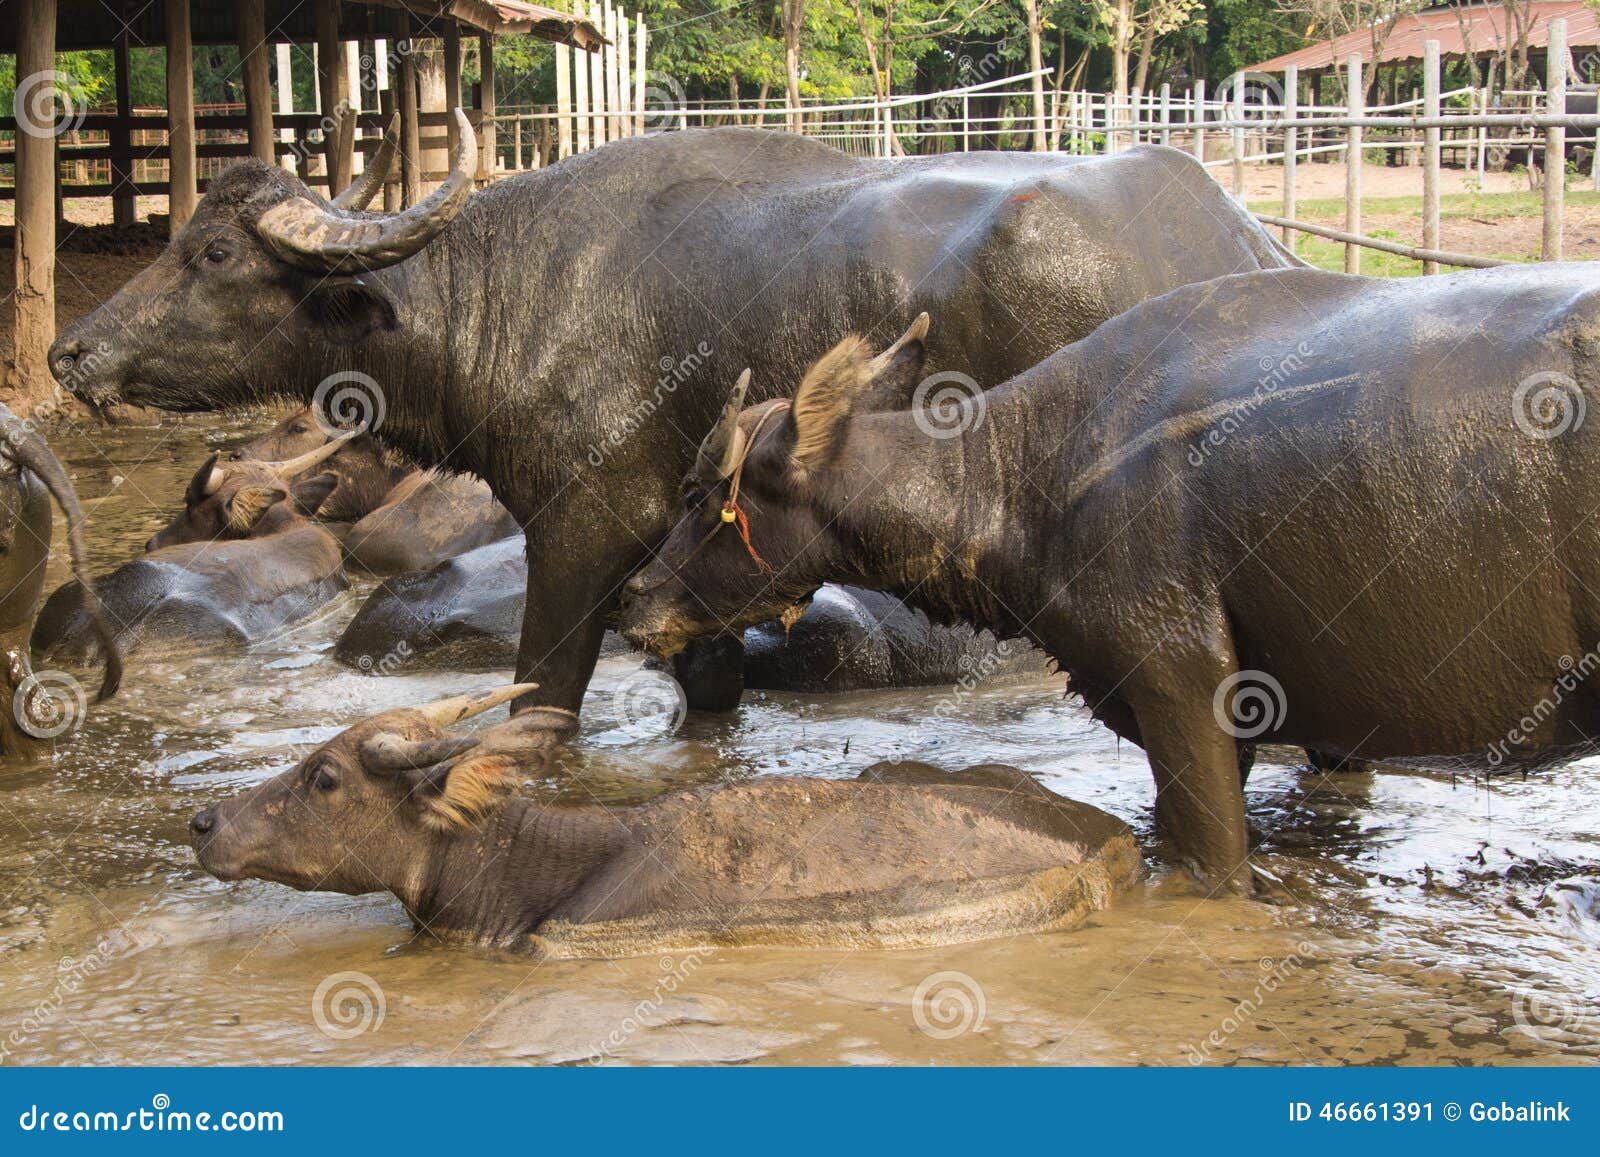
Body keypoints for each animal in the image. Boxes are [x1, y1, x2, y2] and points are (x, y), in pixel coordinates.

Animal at [51, 112, 1295, 748]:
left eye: (213, 253)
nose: (69, 353)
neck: (509, 296)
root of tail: (1242, 240)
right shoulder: (687, 564)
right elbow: (705, 685)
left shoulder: (580, 527)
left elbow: (541, 694)